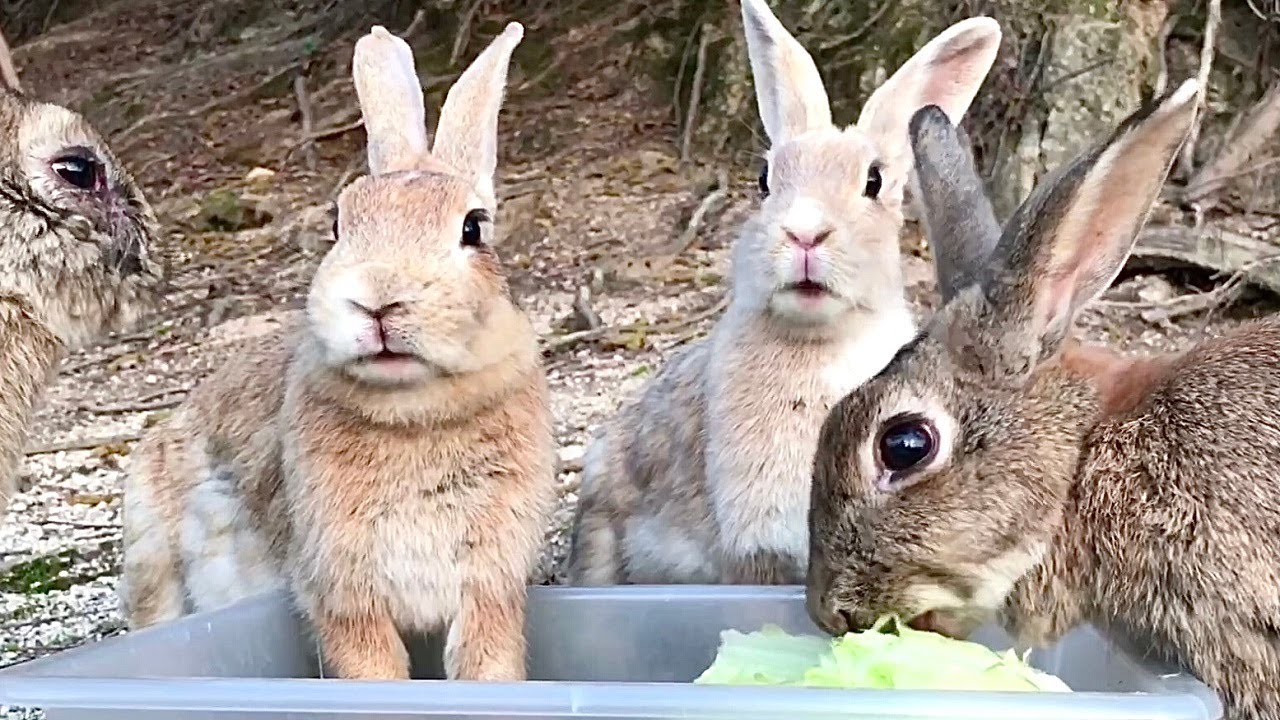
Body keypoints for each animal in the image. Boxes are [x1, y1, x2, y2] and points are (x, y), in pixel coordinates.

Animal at [120, 23, 555, 682]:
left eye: (473, 228)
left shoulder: (492, 582)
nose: (376, 300)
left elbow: (487, 657)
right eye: (337, 224)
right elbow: (367, 663)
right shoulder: (343, 590)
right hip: (153, 556)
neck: (415, 411)